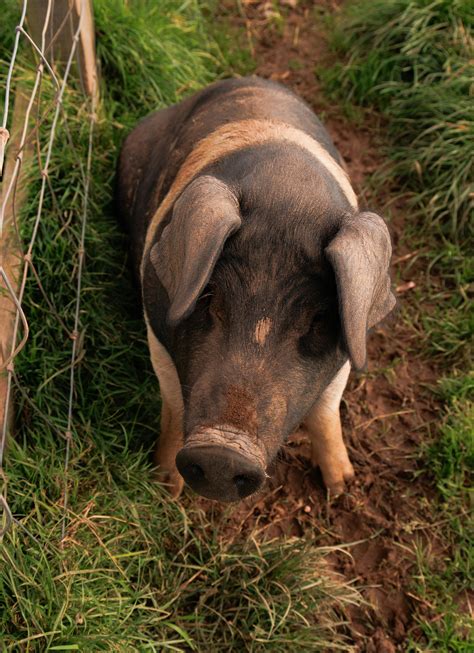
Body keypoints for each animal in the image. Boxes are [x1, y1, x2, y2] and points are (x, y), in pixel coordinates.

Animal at [116, 76, 395, 502]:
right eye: (209, 295)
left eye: (320, 318)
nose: (223, 455)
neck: (287, 194)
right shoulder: (156, 331)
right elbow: (175, 406)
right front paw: (164, 486)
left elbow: (325, 411)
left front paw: (342, 487)